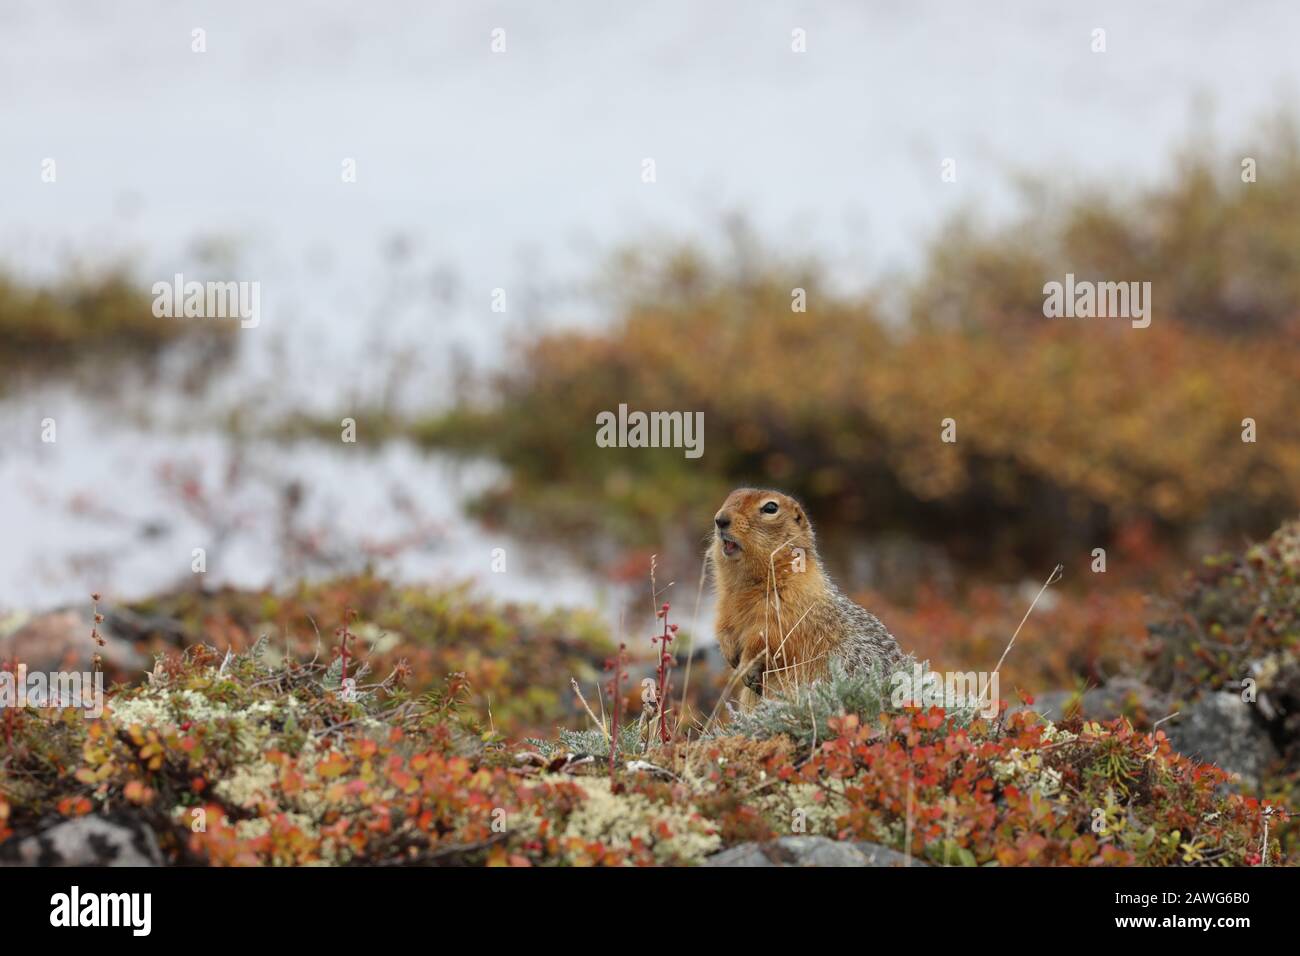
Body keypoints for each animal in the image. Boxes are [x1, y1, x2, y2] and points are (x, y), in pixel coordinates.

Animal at [709, 488, 903, 698]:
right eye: (732, 495)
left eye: (770, 507)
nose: (720, 519)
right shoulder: (724, 605)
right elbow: (724, 627)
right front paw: (729, 653)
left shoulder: (789, 607)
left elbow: (767, 638)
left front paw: (748, 666)